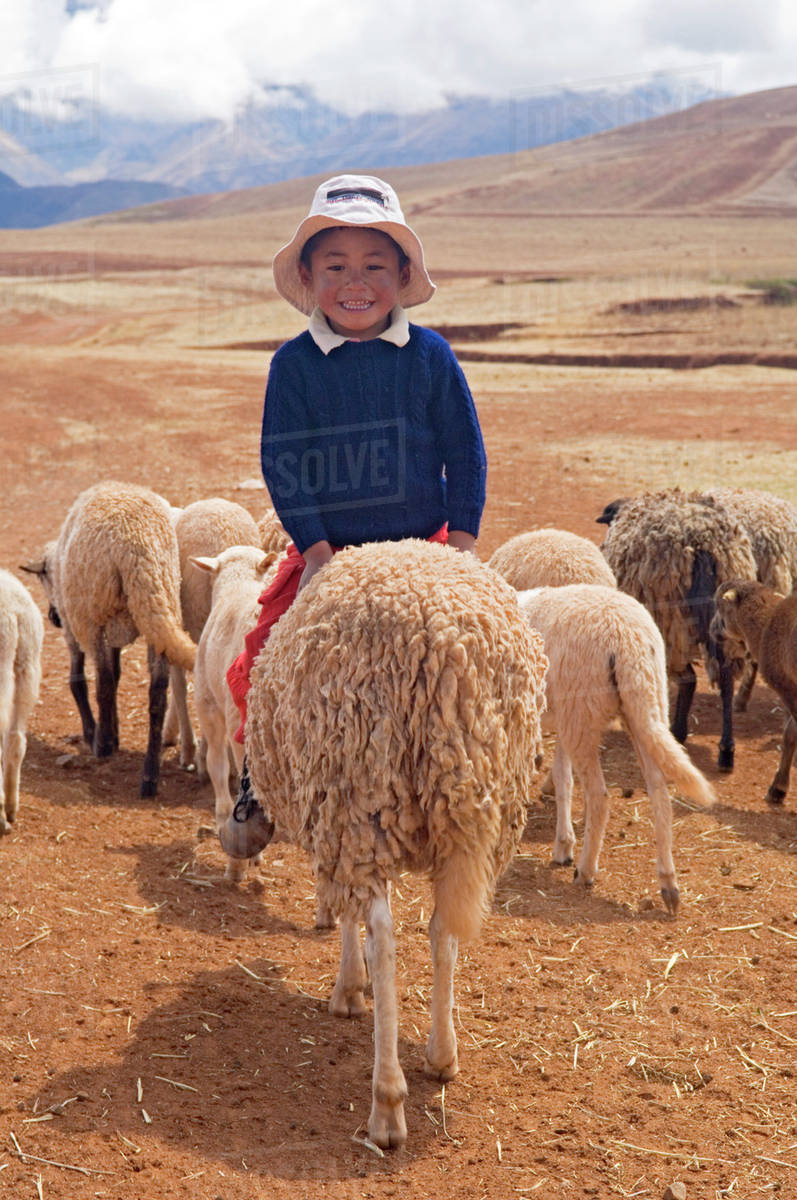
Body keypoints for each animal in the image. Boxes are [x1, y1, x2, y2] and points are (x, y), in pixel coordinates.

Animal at [22, 481, 196, 798]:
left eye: (44, 579)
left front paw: (99, 734)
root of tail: (139, 545)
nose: (53, 617)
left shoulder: (77, 623)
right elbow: (116, 675)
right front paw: (114, 733)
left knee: (100, 681)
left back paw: (101, 746)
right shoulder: (114, 632)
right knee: (157, 692)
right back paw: (149, 776)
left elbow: (82, 679)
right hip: (158, 605)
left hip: (92, 612)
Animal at [244, 538, 547, 1148]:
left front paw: (348, 989)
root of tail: (442, 645)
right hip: (480, 807)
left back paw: (386, 1104)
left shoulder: (331, 814)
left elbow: (346, 915)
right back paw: (442, 1054)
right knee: (443, 929)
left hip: (359, 788)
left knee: (386, 936)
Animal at [517, 584, 714, 913]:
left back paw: (585, 871)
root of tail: (627, 639)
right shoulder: (559, 720)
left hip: (583, 711)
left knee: (599, 796)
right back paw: (668, 883)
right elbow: (563, 779)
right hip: (644, 705)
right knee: (660, 794)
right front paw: (563, 845)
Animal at [600, 488, 758, 771]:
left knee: (689, 678)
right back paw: (726, 750)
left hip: (669, 621)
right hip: (725, 621)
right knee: (726, 678)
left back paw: (678, 731)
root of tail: (703, 543)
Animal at [713, 580, 797, 806]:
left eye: (719, 606)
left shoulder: (788, 688)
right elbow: (790, 735)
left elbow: (789, 735)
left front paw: (778, 788)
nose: (712, 629)